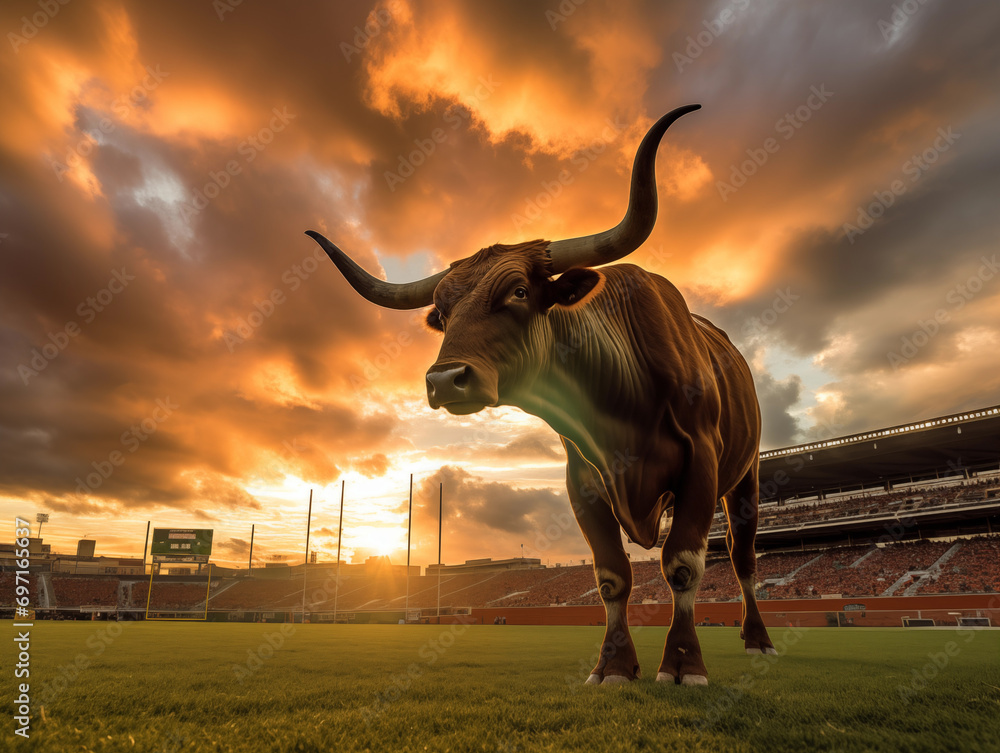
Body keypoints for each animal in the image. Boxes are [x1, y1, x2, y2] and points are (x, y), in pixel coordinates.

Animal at [306, 104, 776, 686]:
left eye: (519, 291)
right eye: (441, 314)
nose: (444, 379)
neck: (621, 406)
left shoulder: (701, 464)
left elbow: (684, 564)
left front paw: (684, 664)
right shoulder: (582, 481)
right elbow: (612, 576)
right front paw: (614, 666)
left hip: (746, 475)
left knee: (742, 557)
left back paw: (758, 641)